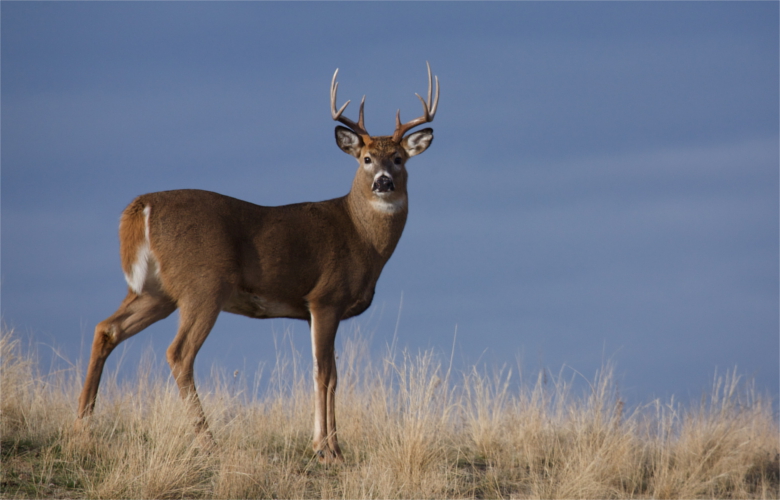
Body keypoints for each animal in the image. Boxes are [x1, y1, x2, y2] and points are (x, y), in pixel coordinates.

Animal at [74, 63, 439, 463]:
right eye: (366, 159)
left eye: (399, 159)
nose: (383, 183)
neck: (361, 236)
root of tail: (142, 206)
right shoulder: (325, 297)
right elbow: (325, 374)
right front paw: (327, 449)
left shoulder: (312, 310)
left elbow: (328, 374)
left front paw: (328, 446)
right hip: (204, 285)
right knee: (179, 353)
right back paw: (208, 443)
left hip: (157, 291)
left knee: (107, 329)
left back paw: (83, 427)